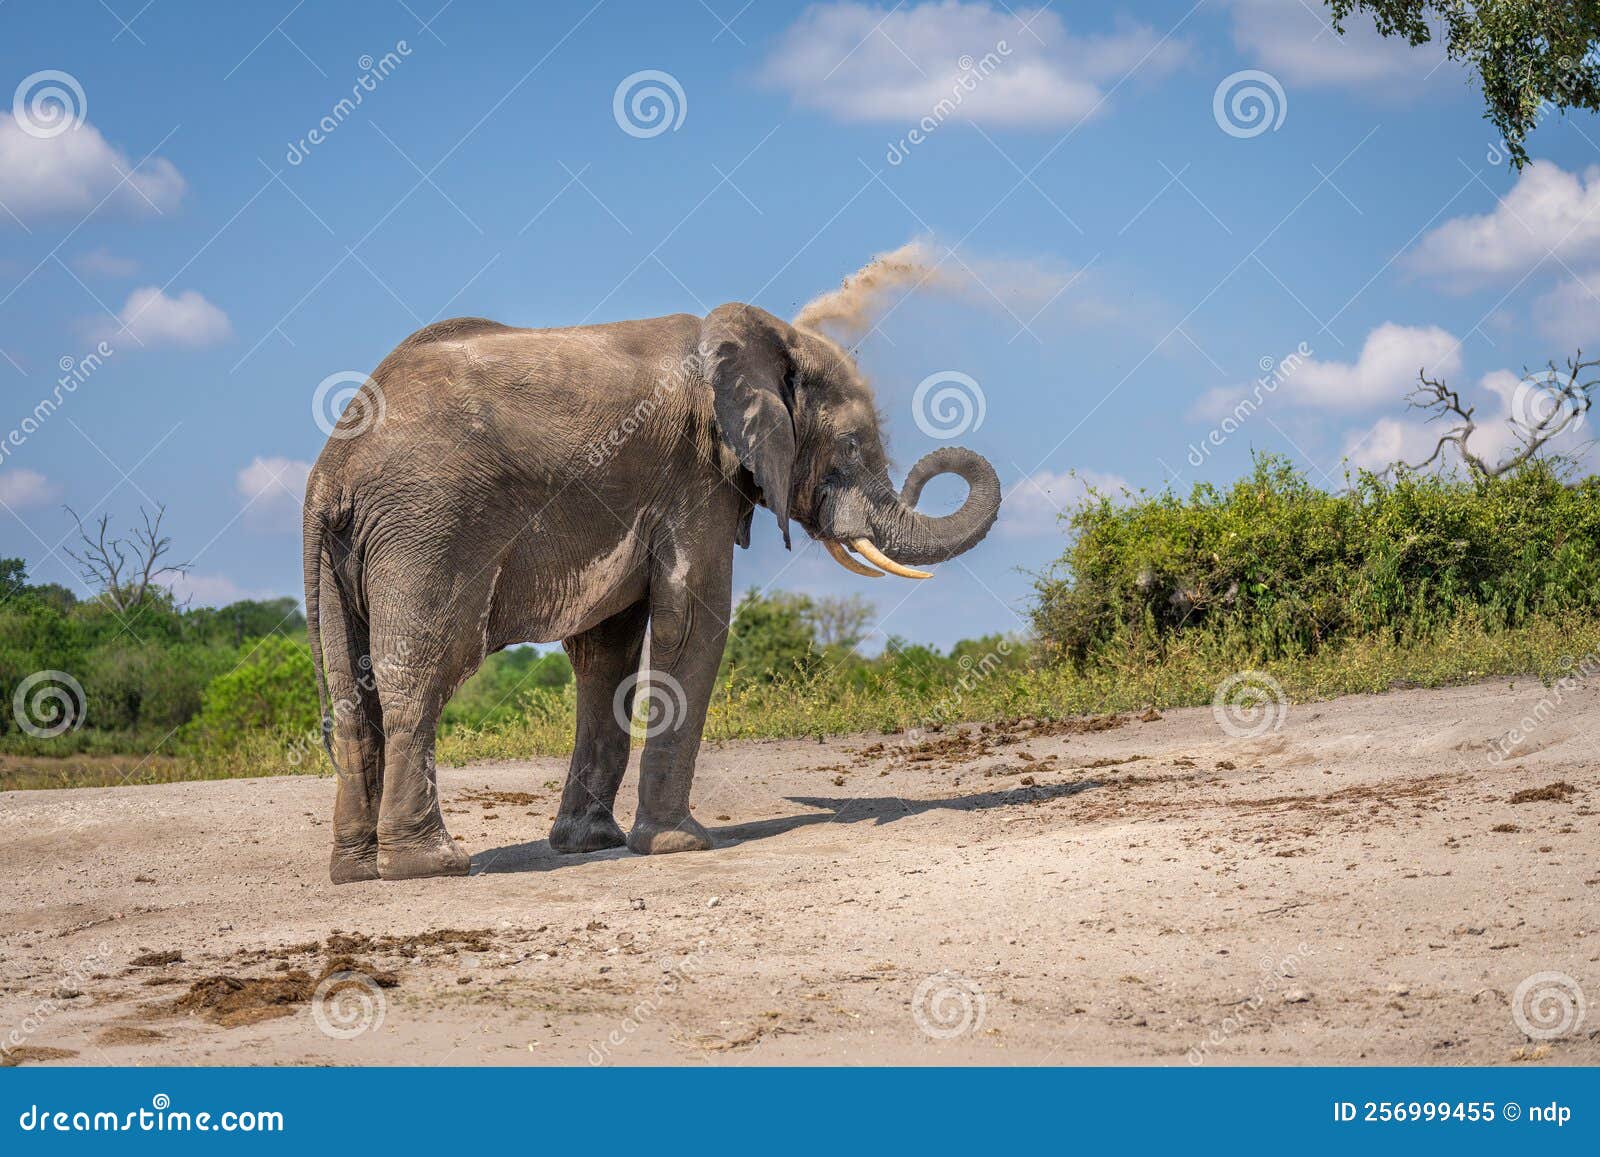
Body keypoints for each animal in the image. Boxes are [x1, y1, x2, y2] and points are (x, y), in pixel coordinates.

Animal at [301, 302, 1001, 882]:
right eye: (851, 447)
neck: (760, 336)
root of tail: (333, 469)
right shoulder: (695, 478)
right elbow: (692, 620)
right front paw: (681, 845)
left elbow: (606, 648)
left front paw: (591, 845)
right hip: (431, 527)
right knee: (422, 675)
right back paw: (431, 865)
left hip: (347, 556)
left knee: (351, 688)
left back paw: (356, 870)